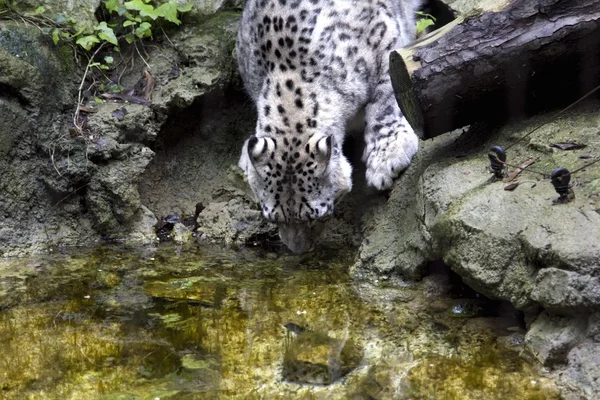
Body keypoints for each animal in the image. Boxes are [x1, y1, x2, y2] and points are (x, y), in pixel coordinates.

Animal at [237, 0, 420, 253]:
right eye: (272, 218)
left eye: (316, 216)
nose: (298, 251)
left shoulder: (385, 41)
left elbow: (388, 95)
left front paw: (386, 158)